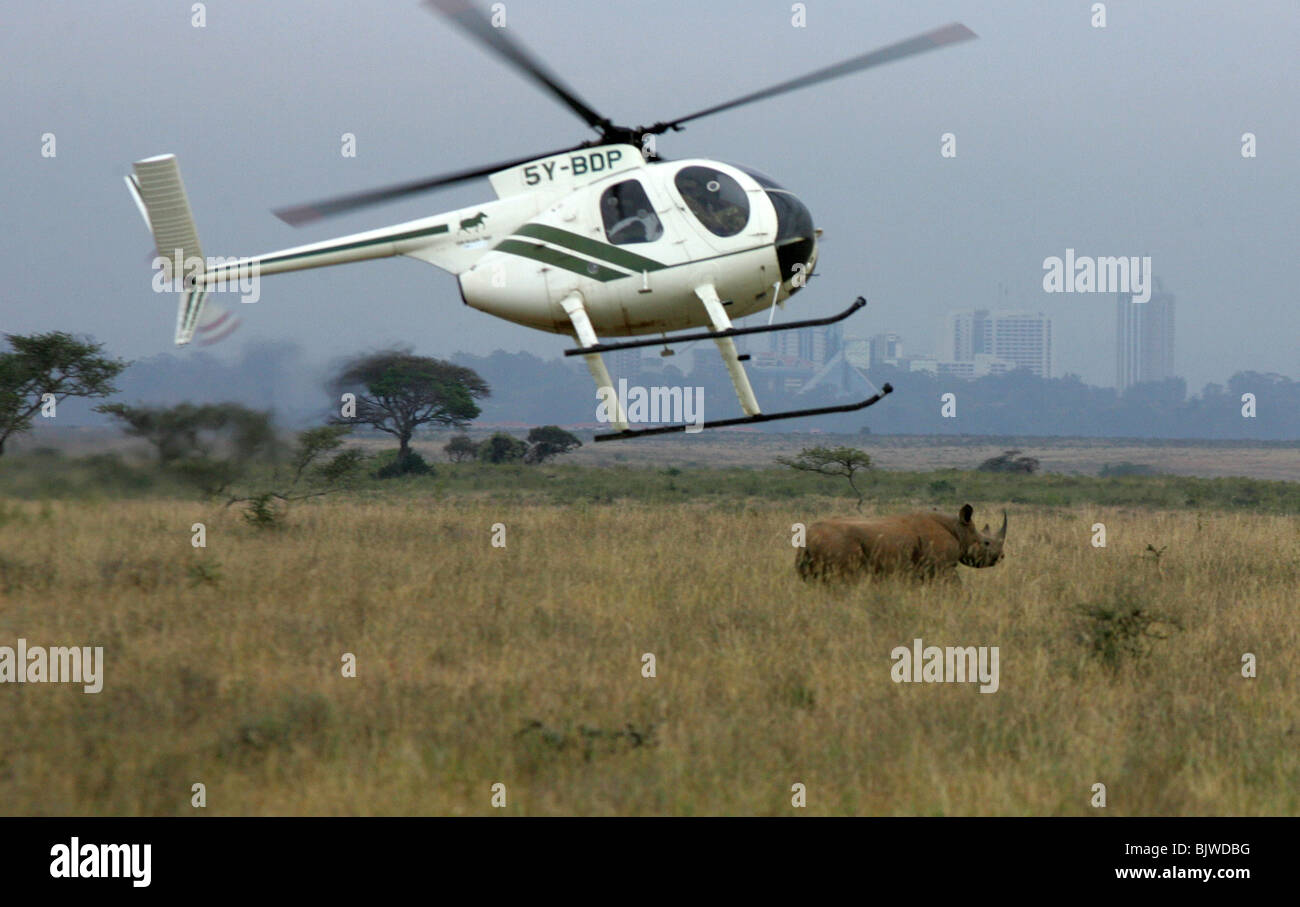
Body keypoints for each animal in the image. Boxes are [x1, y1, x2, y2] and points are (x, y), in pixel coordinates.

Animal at [796, 504, 1006, 582]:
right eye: (986, 543)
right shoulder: (942, 566)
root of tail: (808, 539)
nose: (1001, 556)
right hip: (837, 544)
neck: (959, 529)